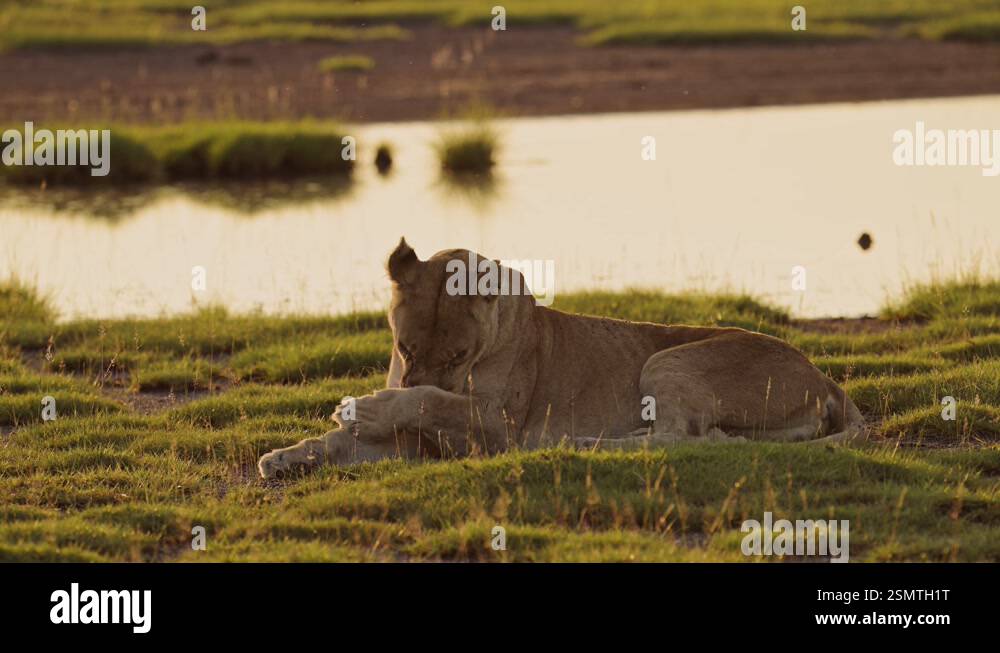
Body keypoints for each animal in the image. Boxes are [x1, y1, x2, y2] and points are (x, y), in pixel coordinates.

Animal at [258, 239, 866, 478]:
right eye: (404, 347)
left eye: (457, 353)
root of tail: (824, 378)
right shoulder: (416, 443)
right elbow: (341, 441)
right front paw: (284, 457)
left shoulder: (495, 427)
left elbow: (428, 401)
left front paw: (363, 407)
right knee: (701, 438)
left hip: (668, 361)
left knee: (687, 439)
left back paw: (581, 442)